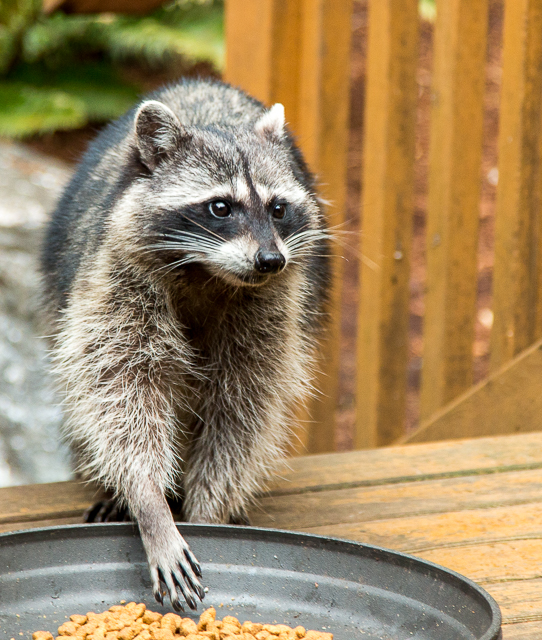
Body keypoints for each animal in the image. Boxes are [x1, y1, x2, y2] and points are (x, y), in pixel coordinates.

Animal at [41, 78, 331, 610]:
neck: (207, 272)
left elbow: (241, 410)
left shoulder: (272, 305)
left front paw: (208, 513)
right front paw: (148, 502)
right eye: (220, 206)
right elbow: (122, 393)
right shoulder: (116, 277)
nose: (271, 260)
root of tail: (201, 83)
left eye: (278, 208)